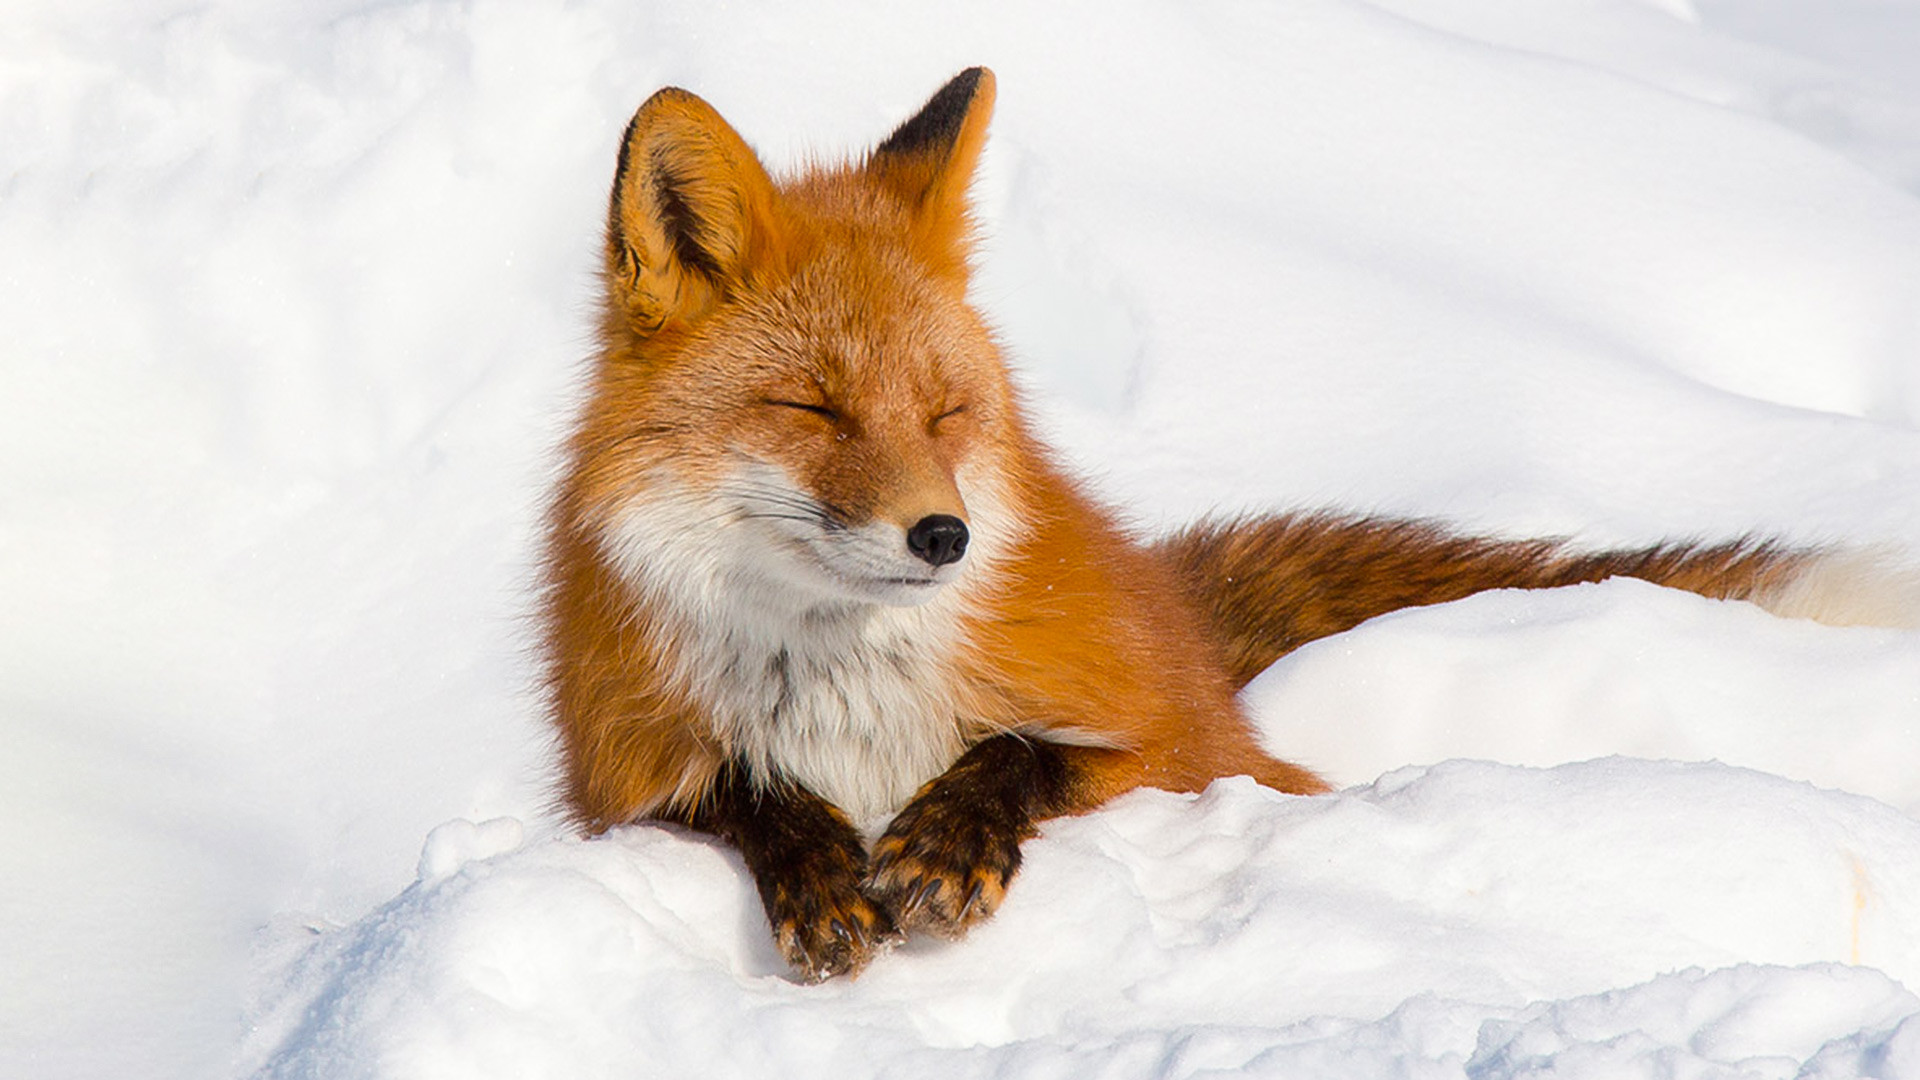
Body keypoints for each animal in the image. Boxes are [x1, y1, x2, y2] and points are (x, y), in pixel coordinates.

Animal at [543, 67, 1915, 981]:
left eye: (944, 411)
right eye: (813, 406)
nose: (945, 539)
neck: (850, 699)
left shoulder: (1181, 749)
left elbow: (1033, 753)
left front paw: (947, 839)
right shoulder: (617, 780)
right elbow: (736, 793)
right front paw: (818, 867)